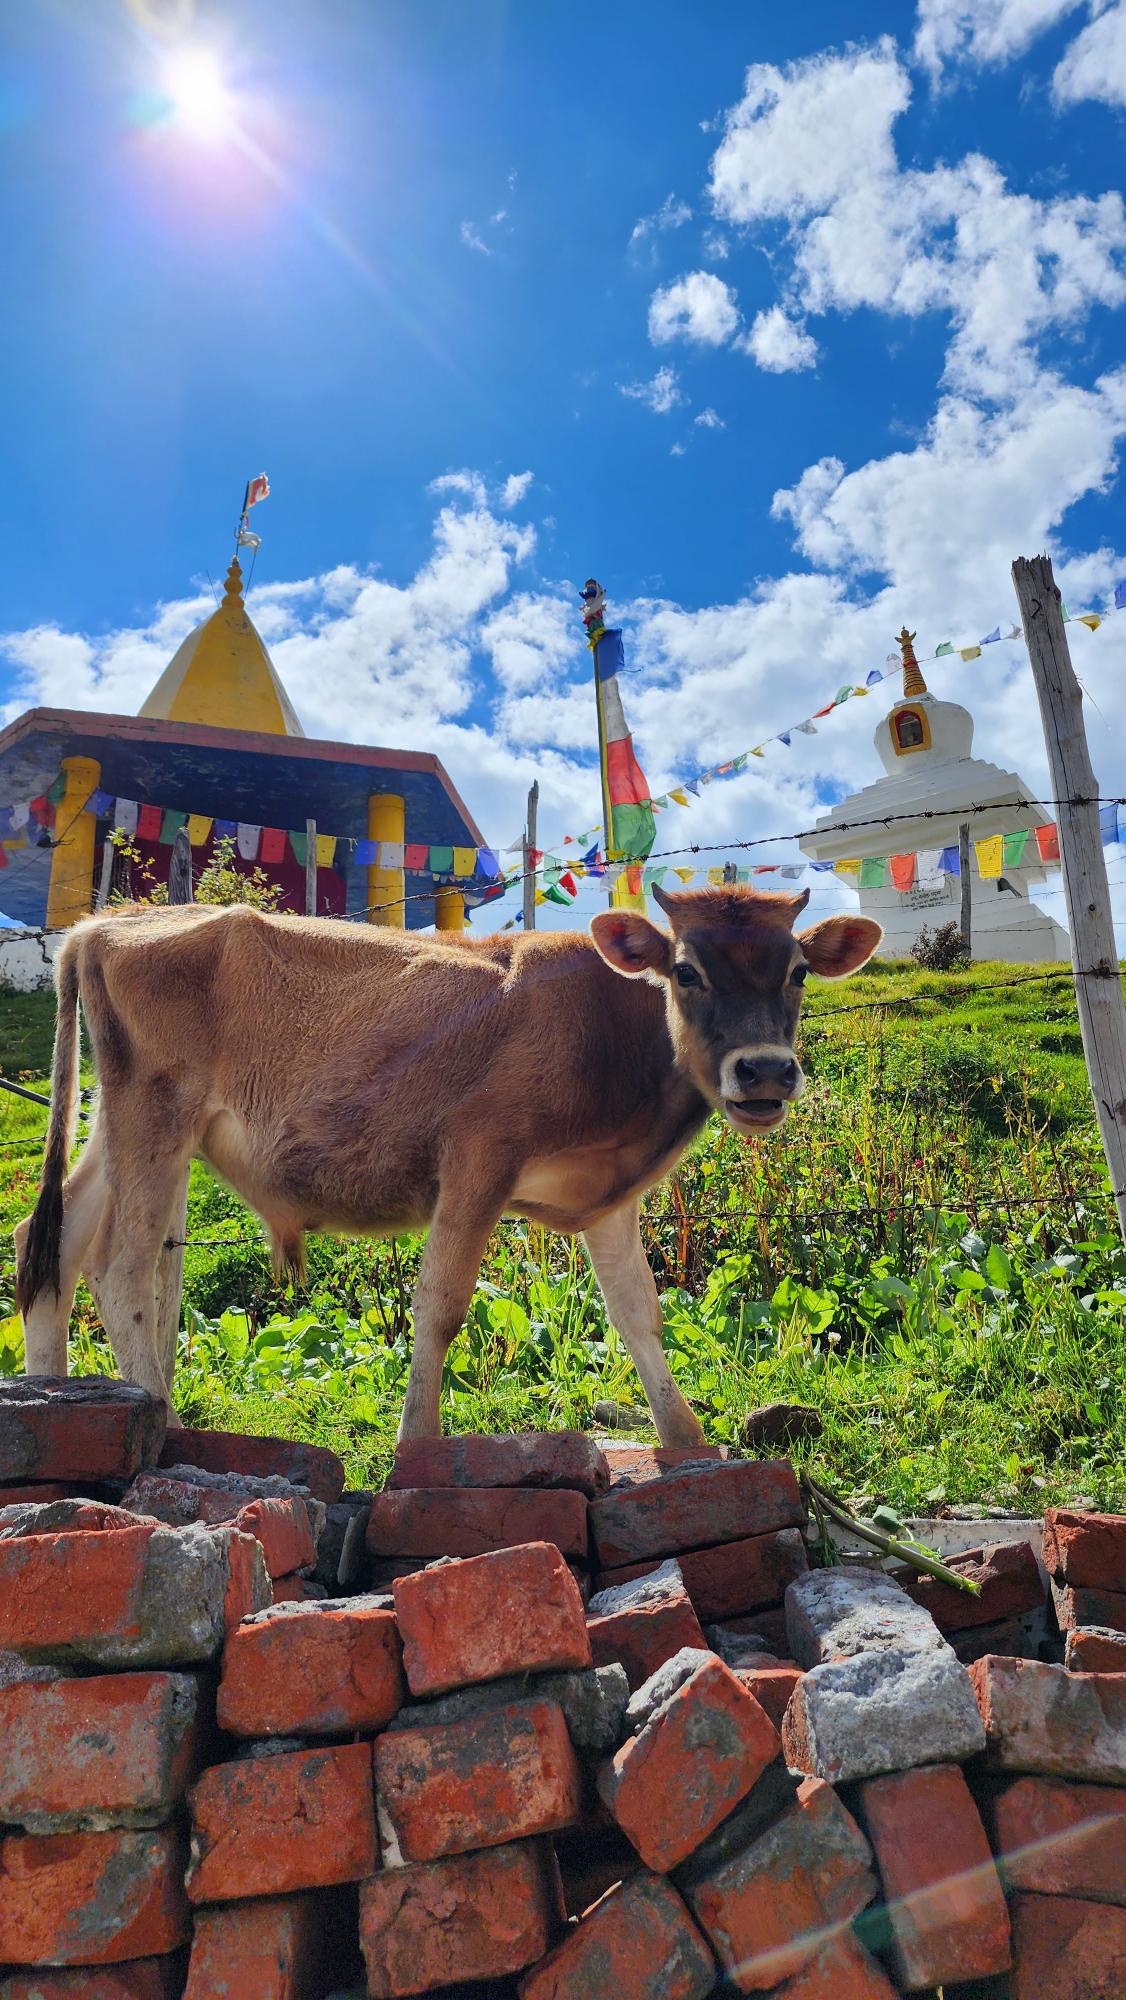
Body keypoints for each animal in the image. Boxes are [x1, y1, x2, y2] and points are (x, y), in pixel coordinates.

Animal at [15, 892, 880, 1440]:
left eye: (798, 971)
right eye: (687, 970)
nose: (765, 1072)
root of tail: (100, 927)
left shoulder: (606, 1195)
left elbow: (639, 1313)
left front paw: (686, 1437)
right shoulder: (477, 1157)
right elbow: (440, 1306)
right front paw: (418, 1442)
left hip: (122, 1122)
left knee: (50, 1242)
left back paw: (52, 1393)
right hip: (155, 1113)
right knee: (123, 1269)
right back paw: (161, 1424)